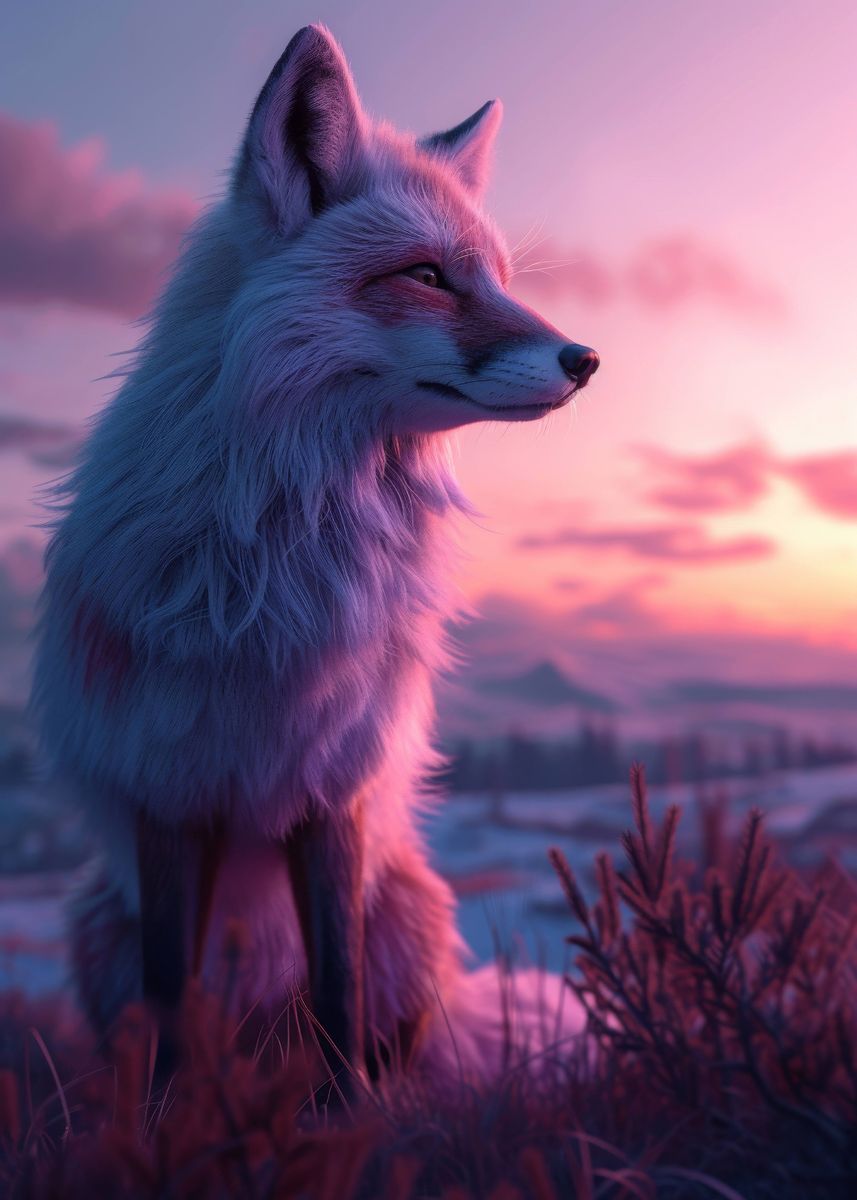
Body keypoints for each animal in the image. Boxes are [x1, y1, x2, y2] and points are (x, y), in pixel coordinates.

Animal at [30, 24, 598, 1089]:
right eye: (427, 276)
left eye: (499, 278)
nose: (585, 361)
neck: (270, 576)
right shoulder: (168, 796)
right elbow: (172, 1001)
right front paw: (169, 1116)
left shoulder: (332, 790)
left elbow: (337, 991)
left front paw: (352, 1110)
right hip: (95, 927)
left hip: (411, 915)